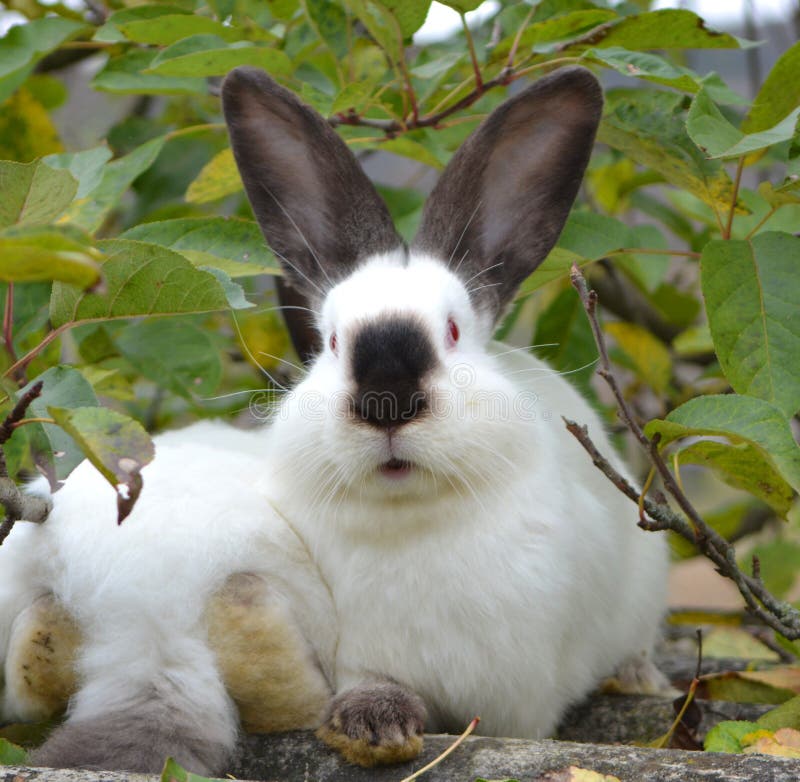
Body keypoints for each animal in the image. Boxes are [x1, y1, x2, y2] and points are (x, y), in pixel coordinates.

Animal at [220, 65, 669, 767]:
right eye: (331, 343)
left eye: (454, 331)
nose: (387, 401)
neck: (410, 520)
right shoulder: (358, 653)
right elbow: (376, 686)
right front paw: (372, 722)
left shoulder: (520, 696)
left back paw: (639, 677)